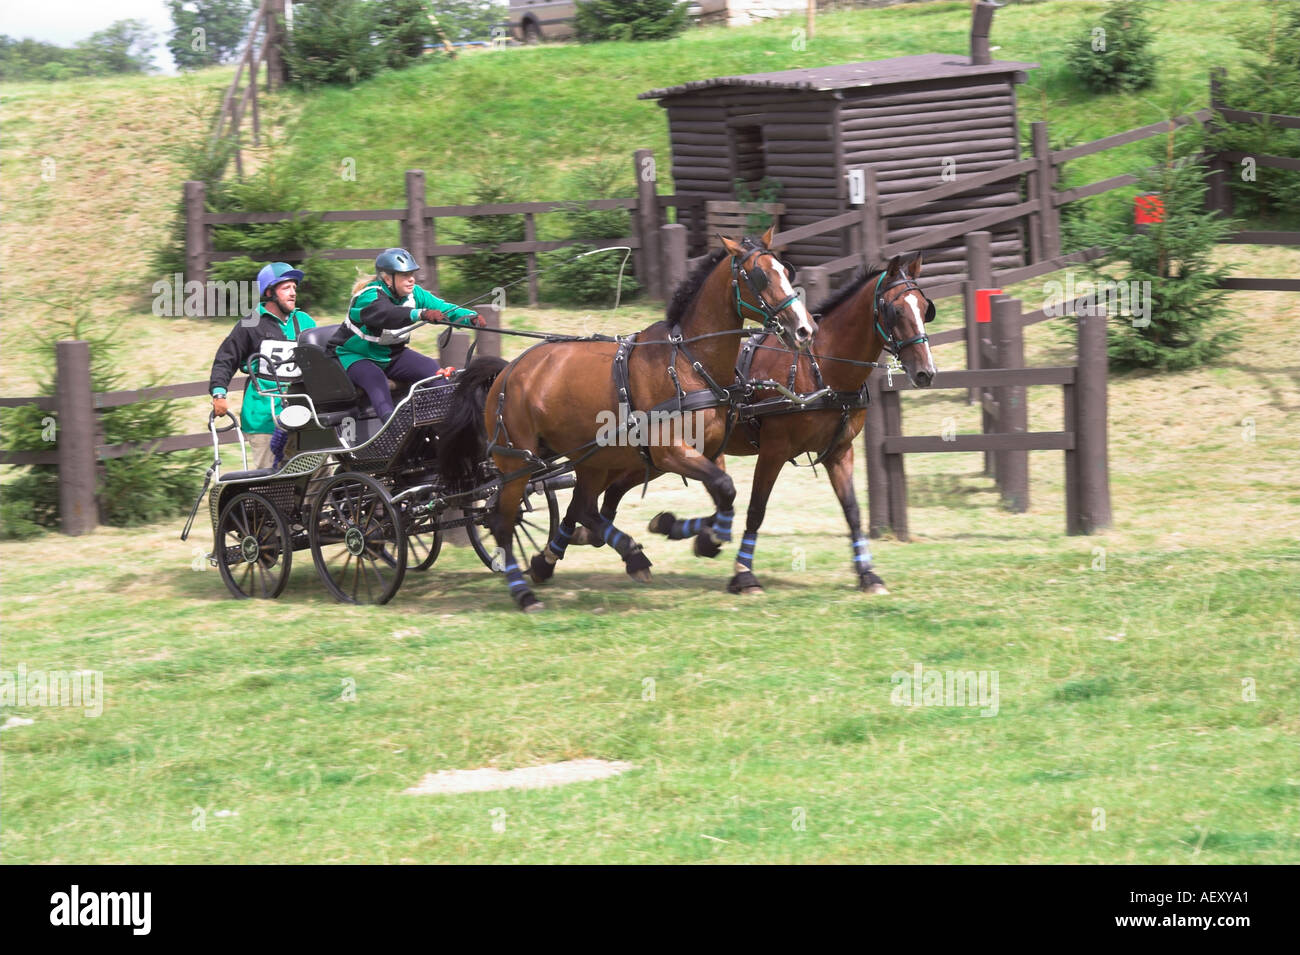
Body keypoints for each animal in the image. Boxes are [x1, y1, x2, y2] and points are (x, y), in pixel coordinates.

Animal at [438, 226, 816, 611]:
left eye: (786, 271)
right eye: (760, 276)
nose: (804, 329)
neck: (688, 361)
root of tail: (508, 370)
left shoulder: (710, 450)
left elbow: (725, 494)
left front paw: (697, 534)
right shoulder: (671, 452)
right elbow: (725, 489)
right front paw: (701, 537)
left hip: (589, 457)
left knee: (584, 507)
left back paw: (611, 557)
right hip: (519, 462)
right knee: (504, 521)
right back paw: (525, 592)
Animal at [569, 252, 938, 595]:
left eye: (924, 308)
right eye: (896, 311)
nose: (925, 371)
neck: (819, 369)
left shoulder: (839, 451)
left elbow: (852, 511)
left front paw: (868, 574)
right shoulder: (774, 450)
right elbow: (756, 510)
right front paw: (744, 573)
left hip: (658, 456)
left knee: (610, 492)